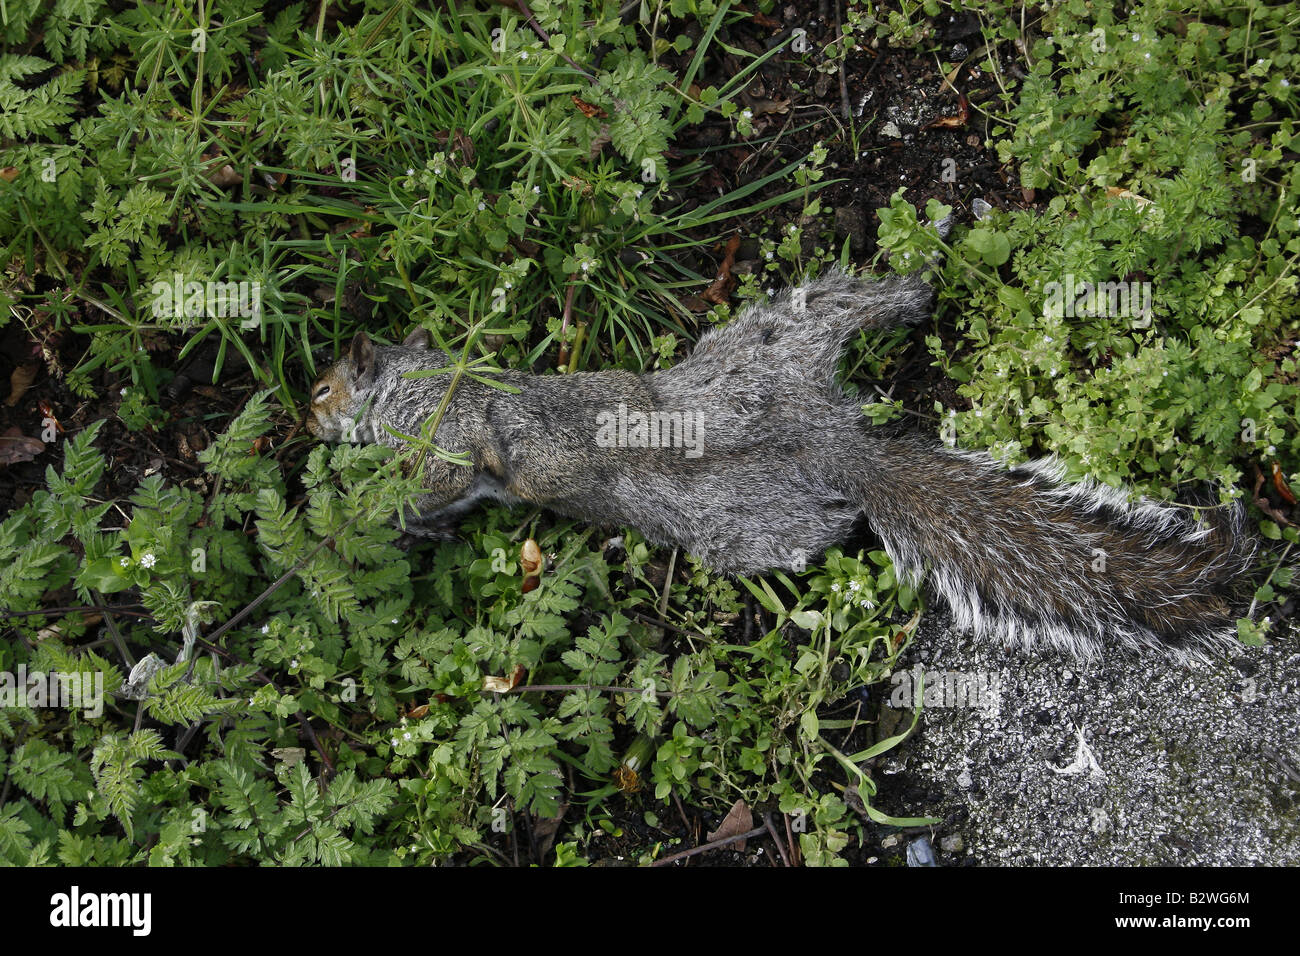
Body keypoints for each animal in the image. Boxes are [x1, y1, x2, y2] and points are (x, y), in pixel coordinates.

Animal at [306, 269, 1256, 661]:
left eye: (320, 387)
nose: (303, 421)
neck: (416, 382)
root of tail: (825, 436)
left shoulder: (446, 436)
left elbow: (434, 486)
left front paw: (387, 523)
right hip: (785, 334)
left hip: (739, 521)